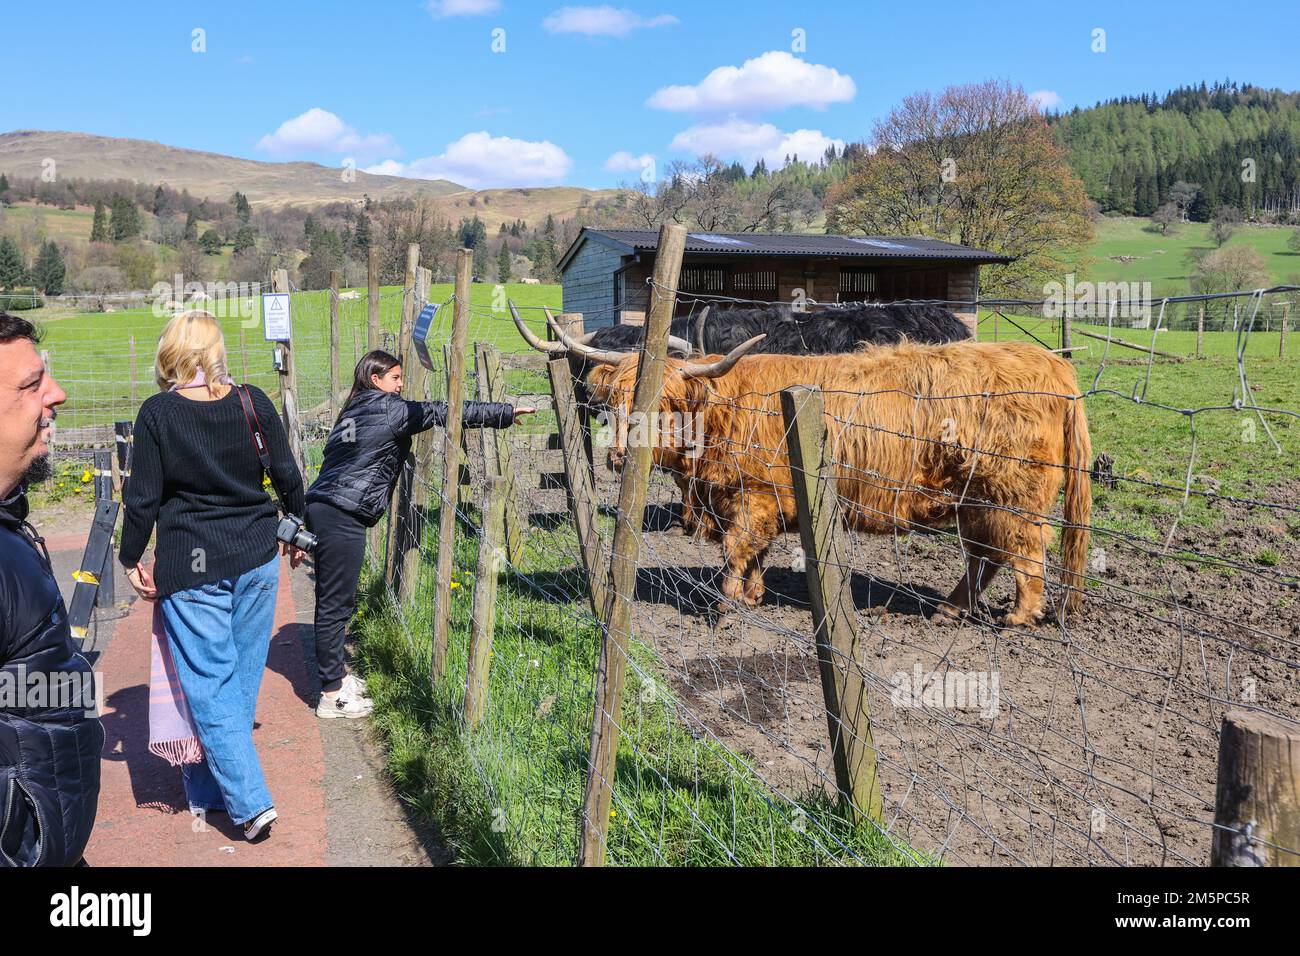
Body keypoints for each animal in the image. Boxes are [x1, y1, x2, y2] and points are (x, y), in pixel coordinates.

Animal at [579, 336, 1092, 627]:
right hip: (975, 503)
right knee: (986, 557)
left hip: (1010, 496)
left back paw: (1018, 616)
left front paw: (726, 605)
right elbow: (756, 552)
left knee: (1025, 550)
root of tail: (1055, 366)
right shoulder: (760, 499)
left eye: (663, 404)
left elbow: (736, 548)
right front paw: (754, 595)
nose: (618, 455)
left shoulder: (754, 496)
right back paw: (950, 609)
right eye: (614, 402)